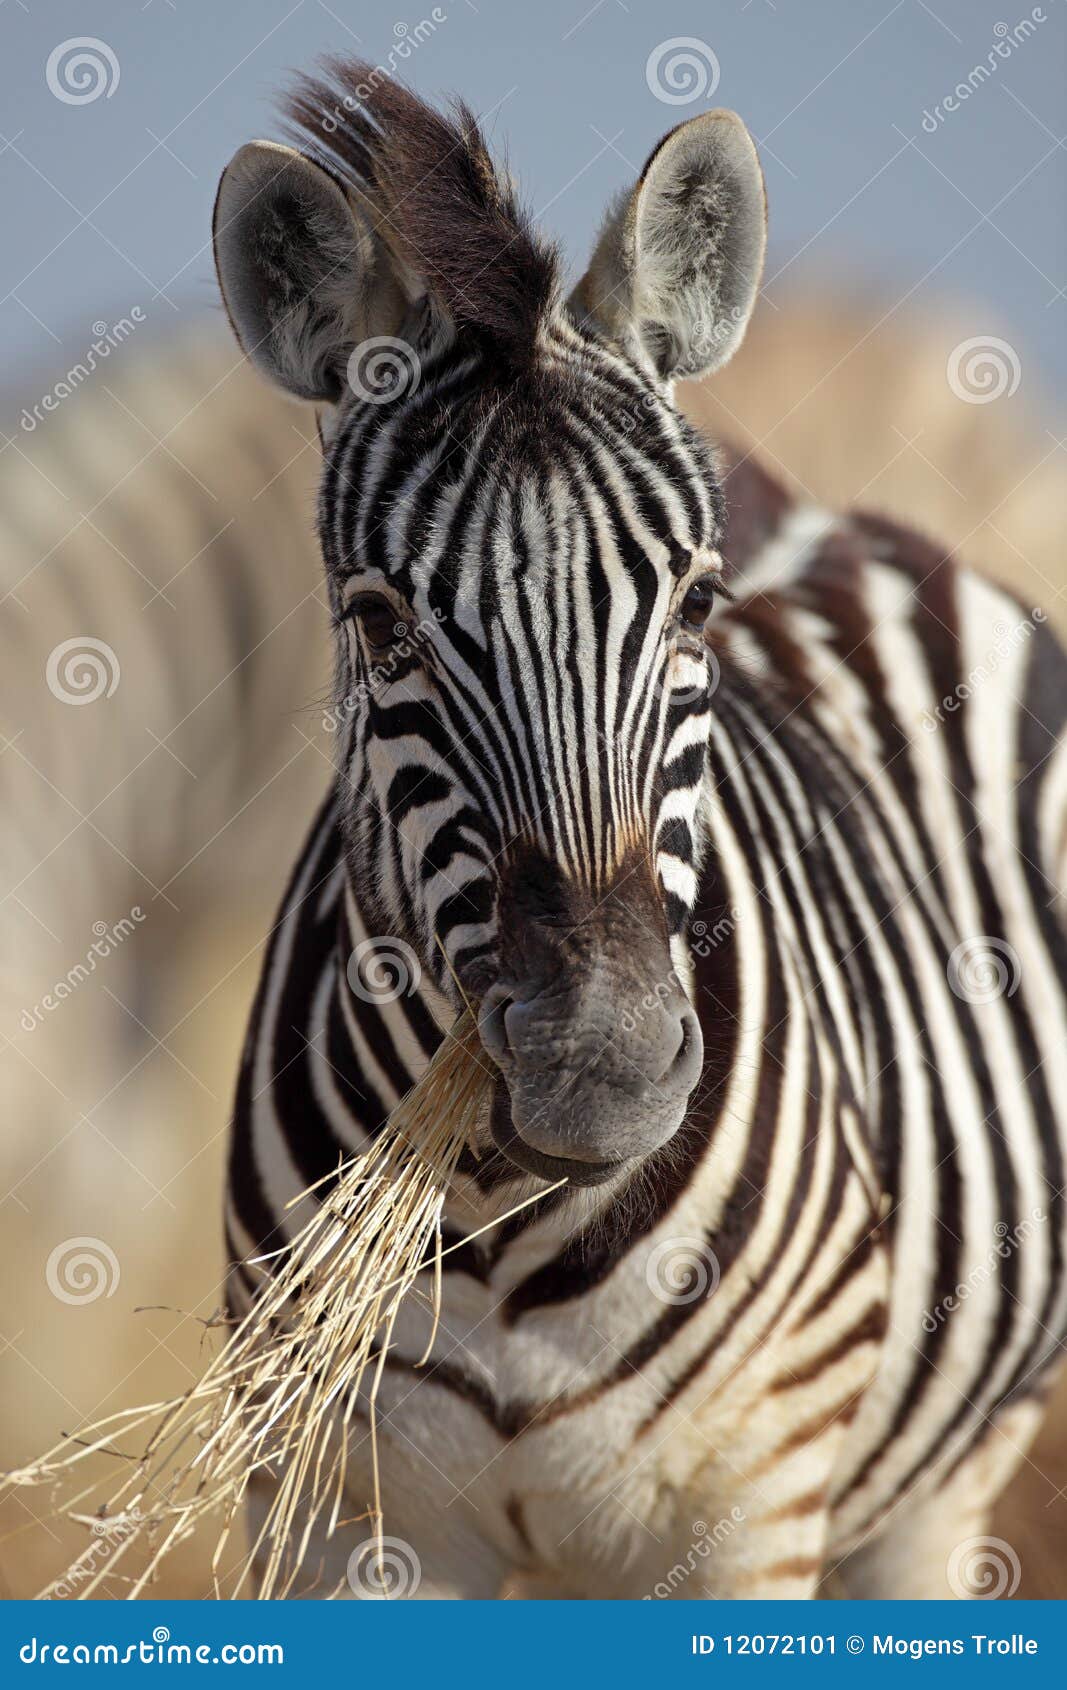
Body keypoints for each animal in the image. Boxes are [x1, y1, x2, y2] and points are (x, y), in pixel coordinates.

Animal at [213, 60, 1067, 1600]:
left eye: (696, 605)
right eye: (378, 623)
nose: (597, 1062)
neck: (499, 1215)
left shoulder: (748, 1506)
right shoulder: (332, 1504)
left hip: (945, 1474)